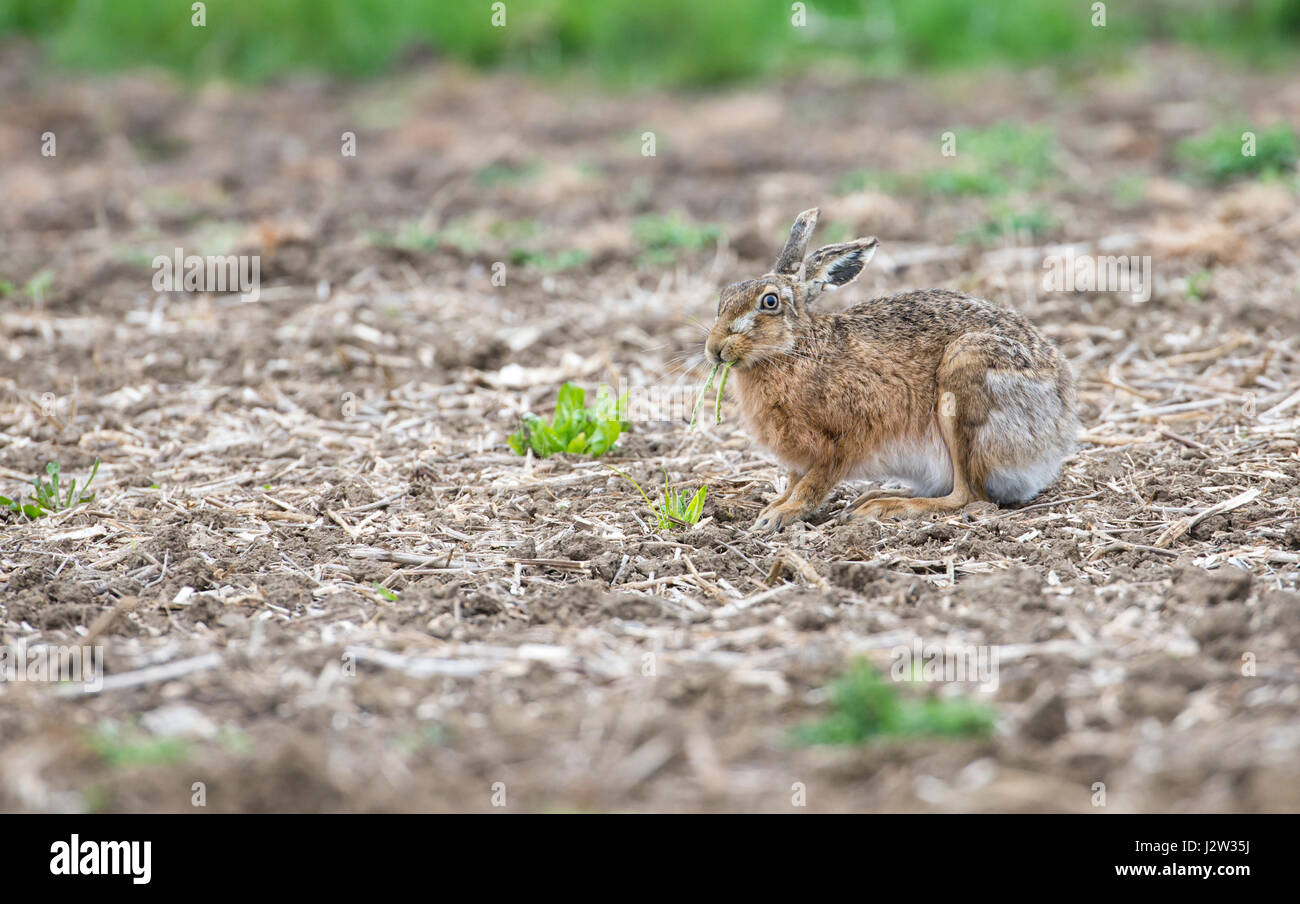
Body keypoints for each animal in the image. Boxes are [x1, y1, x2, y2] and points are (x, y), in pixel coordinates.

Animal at [704, 208, 1078, 532]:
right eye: (725, 295)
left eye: (769, 302)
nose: (715, 348)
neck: (794, 349)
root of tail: (1058, 432)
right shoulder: (801, 458)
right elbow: (795, 482)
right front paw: (774, 507)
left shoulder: (841, 441)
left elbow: (813, 485)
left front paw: (779, 516)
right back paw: (873, 498)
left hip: (964, 378)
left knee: (968, 496)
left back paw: (882, 507)